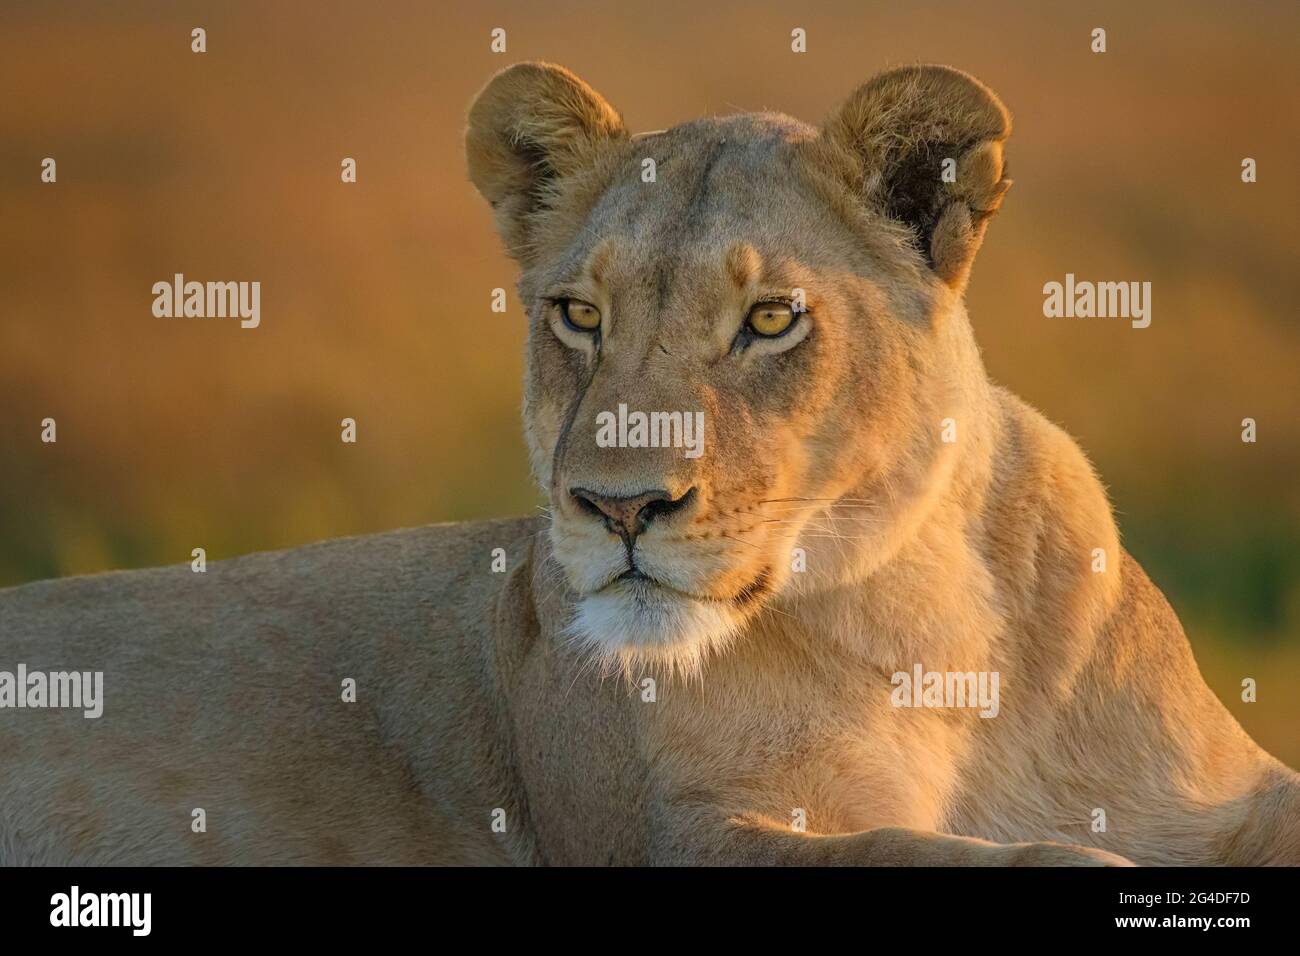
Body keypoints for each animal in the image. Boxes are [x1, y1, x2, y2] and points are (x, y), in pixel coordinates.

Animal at [1, 62, 1296, 866]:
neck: (922, 617)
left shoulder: (1217, 785)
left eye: (769, 320)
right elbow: (910, 850)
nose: (617, 507)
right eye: (579, 314)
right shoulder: (673, 832)